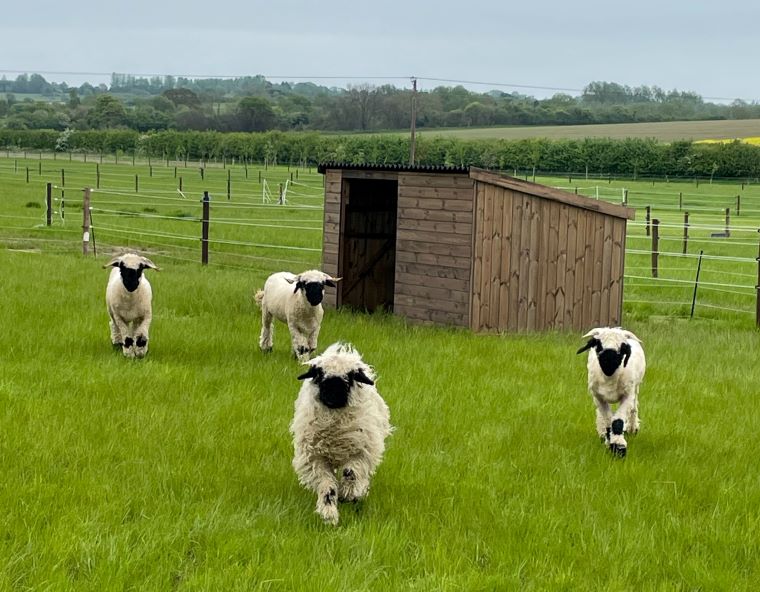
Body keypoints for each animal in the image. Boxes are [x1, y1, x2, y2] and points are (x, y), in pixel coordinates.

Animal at [290, 342, 392, 526]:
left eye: (350, 377)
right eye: (320, 374)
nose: (332, 395)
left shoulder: (360, 452)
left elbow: (350, 473)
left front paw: (349, 494)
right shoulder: (315, 458)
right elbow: (327, 486)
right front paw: (329, 514)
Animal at [576, 327, 646, 457]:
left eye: (623, 349)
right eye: (598, 345)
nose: (609, 364)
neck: (609, 378)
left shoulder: (627, 395)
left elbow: (617, 421)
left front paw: (619, 447)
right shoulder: (598, 397)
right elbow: (608, 420)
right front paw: (610, 442)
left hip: (635, 387)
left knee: (634, 408)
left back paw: (632, 428)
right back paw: (603, 433)